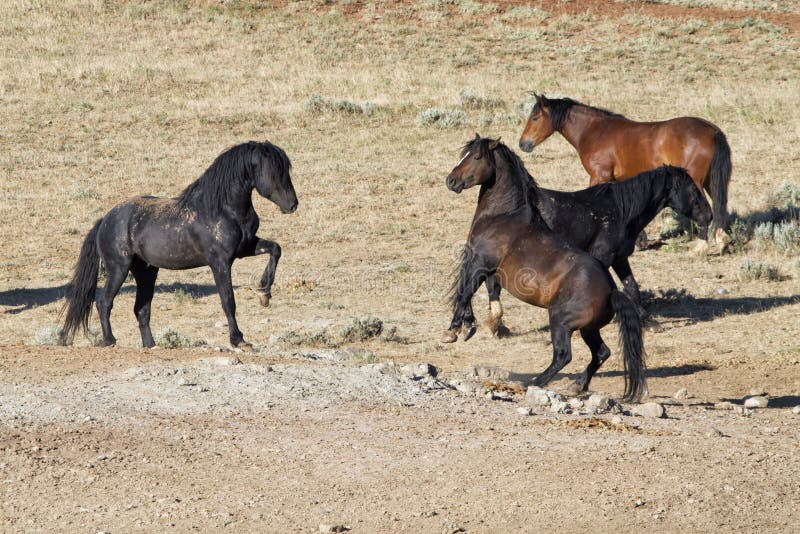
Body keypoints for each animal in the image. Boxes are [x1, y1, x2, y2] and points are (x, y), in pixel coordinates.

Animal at [59, 140, 298, 350]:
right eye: (275, 171)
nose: (293, 205)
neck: (220, 209)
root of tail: (104, 220)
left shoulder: (245, 249)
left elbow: (275, 249)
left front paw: (264, 293)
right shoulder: (220, 262)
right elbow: (228, 300)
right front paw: (239, 340)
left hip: (146, 272)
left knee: (141, 309)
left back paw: (151, 345)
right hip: (119, 268)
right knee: (104, 301)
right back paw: (109, 340)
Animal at [442, 135, 646, 401]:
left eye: (476, 156)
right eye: (463, 155)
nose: (451, 181)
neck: (503, 216)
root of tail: (611, 290)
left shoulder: (480, 263)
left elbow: (464, 292)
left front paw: (452, 332)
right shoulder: (482, 267)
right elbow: (475, 293)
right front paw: (469, 325)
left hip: (560, 321)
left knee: (564, 355)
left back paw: (531, 382)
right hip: (588, 329)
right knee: (601, 352)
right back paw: (577, 385)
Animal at [484, 165, 712, 334]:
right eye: (691, 189)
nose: (708, 216)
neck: (620, 211)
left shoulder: (620, 258)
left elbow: (632, 287)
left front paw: (648, 322)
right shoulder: (602, 257)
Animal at [518, 94, 732, 243]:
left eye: (535, 118)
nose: (523, 144)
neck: (594, 131)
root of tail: (712, 130)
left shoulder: (599, 176)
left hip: (695, 181)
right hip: (710, 181)